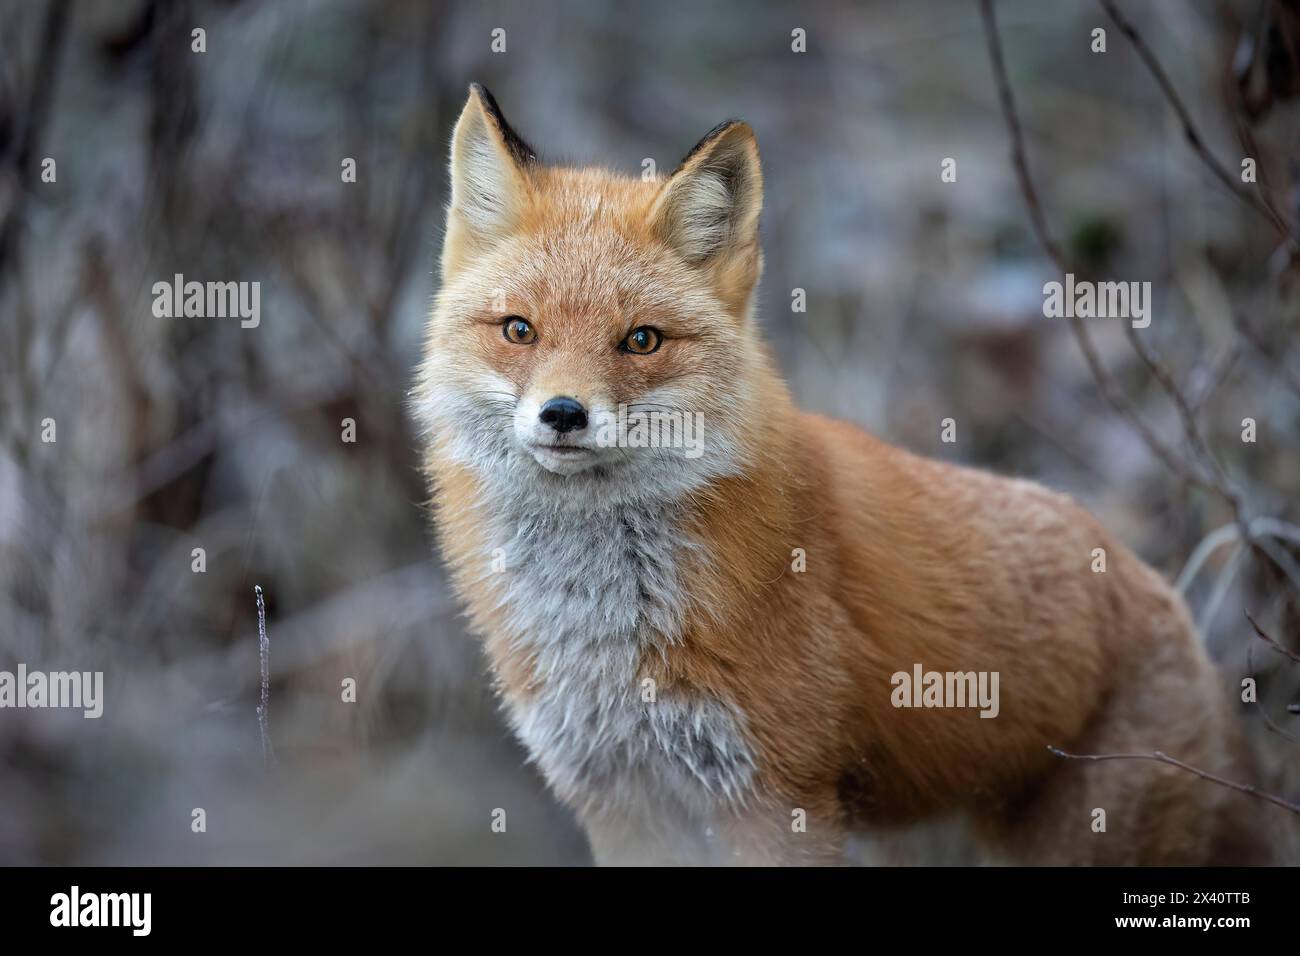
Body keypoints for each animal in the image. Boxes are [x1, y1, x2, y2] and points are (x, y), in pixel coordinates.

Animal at [414, 84, 1278, 865]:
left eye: (641, 340)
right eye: (519, 330)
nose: (563, 414)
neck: (600, 620)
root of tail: (1165, 596)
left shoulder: (778, 795)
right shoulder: (622, 798)